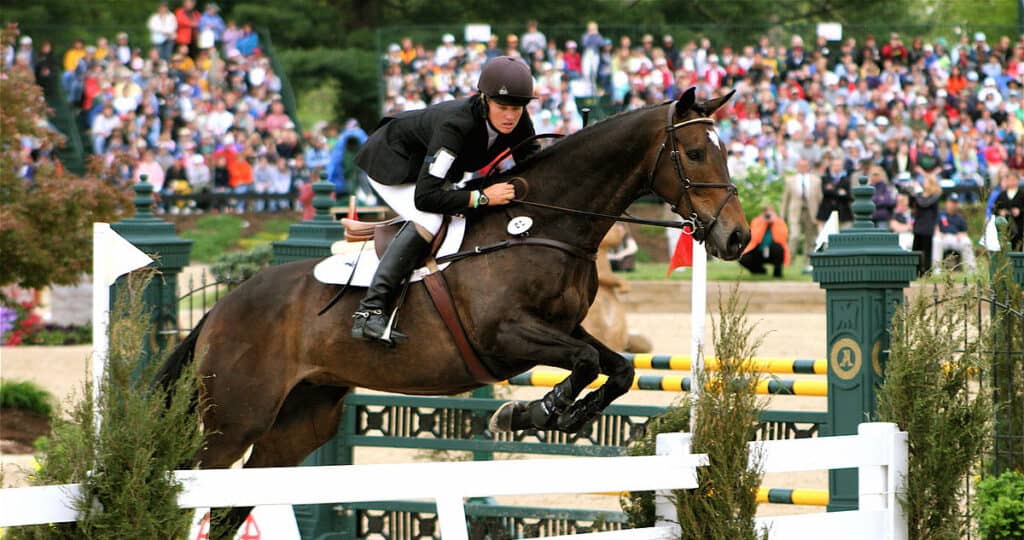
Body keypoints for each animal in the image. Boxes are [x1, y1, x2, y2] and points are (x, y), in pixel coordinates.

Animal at [156, 87, 749, 538]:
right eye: (696, 153)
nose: (738, 237)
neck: (542, 225)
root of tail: (221, 308)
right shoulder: (507, 336)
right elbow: (583, 362)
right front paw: (535, 412)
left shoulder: (563, 327)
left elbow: (618, 368)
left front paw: (549, 414)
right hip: (234, 420)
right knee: (193, 485)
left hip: (301, 420)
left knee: (236, 502)